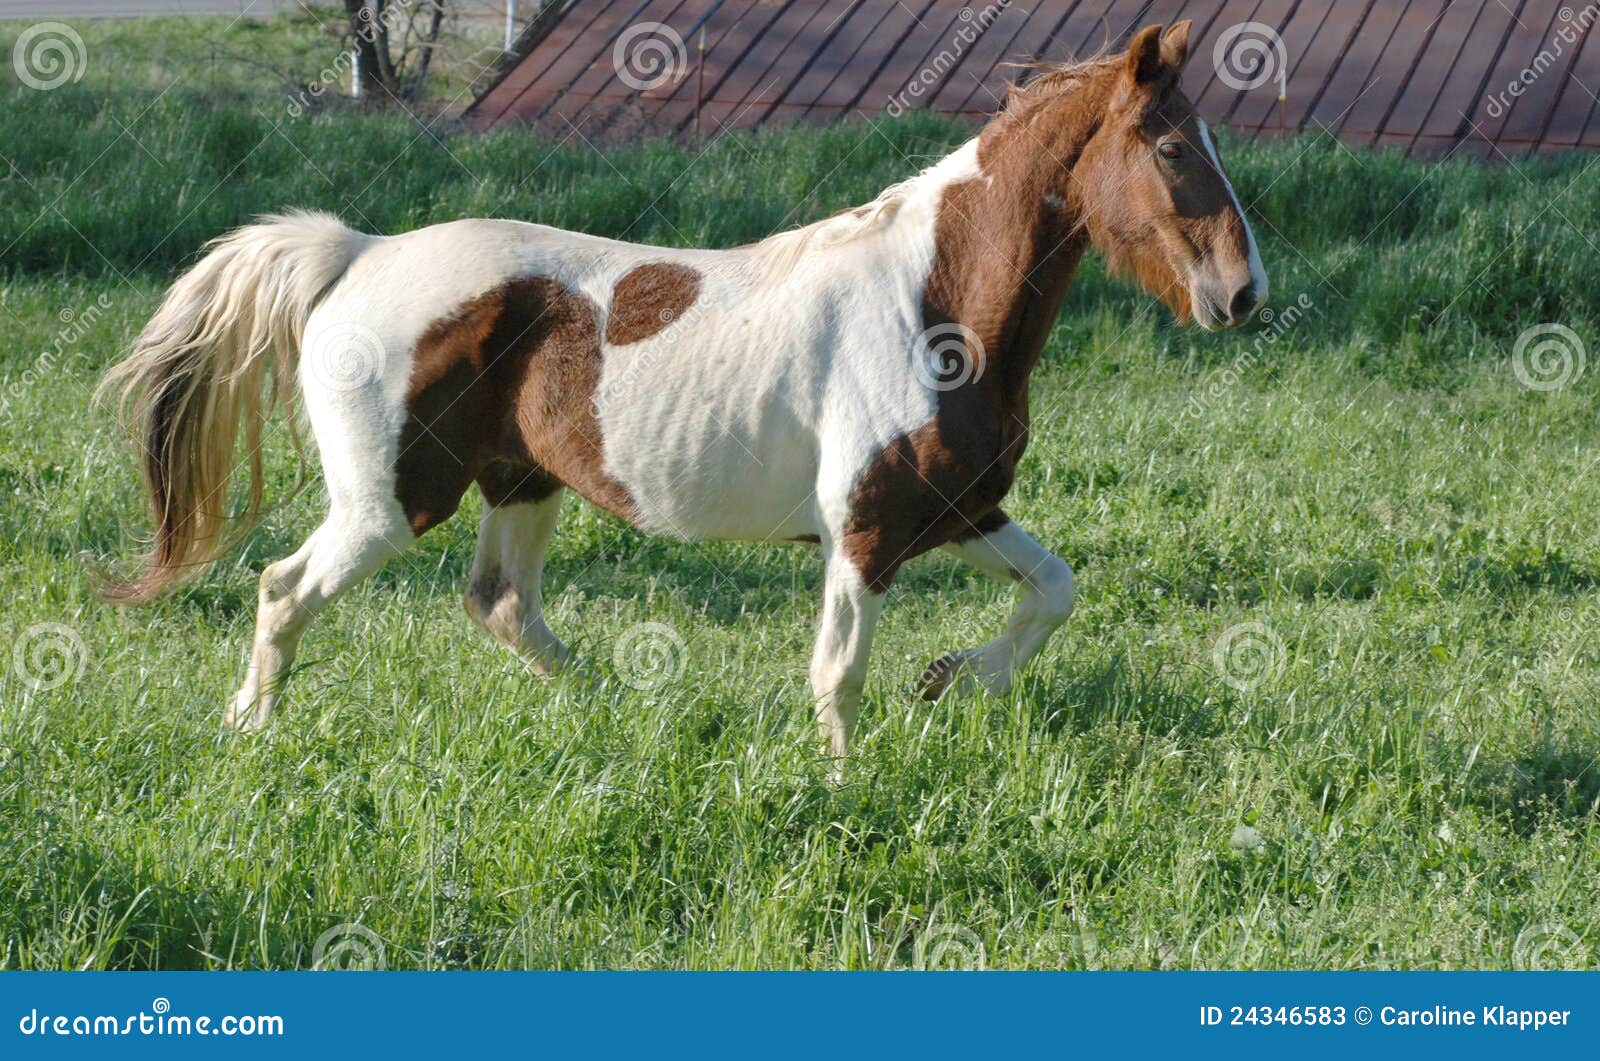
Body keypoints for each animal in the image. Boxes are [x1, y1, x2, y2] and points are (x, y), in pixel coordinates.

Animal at [99, 22, 1265, 775]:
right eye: (1171, 145)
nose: (1242, 293)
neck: (932, 302)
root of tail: (357, 252)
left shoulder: (956, 508)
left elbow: (1053, 591)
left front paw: (949, 679)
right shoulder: (865, 530)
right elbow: (839, 671)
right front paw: (843, 783)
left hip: (520, 482)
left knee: (501, 603)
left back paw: (620, 712)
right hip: (389, 502)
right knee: (284, 587)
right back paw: (252, 728)